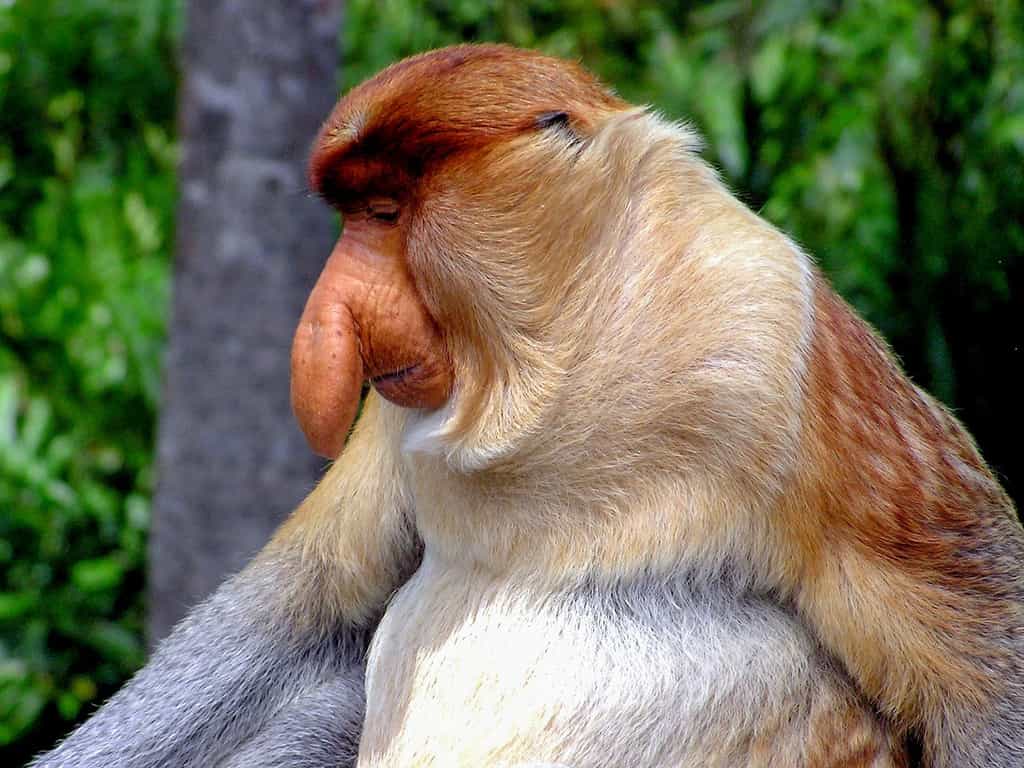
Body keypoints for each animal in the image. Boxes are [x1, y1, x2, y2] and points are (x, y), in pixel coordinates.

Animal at [34, 44, 1022, 768]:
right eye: (355, 215)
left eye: (386, 211)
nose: (330, 314)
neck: (569, 357)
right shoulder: (401, 413)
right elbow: (293, 614)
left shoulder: (781, 337)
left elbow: (982, 659)